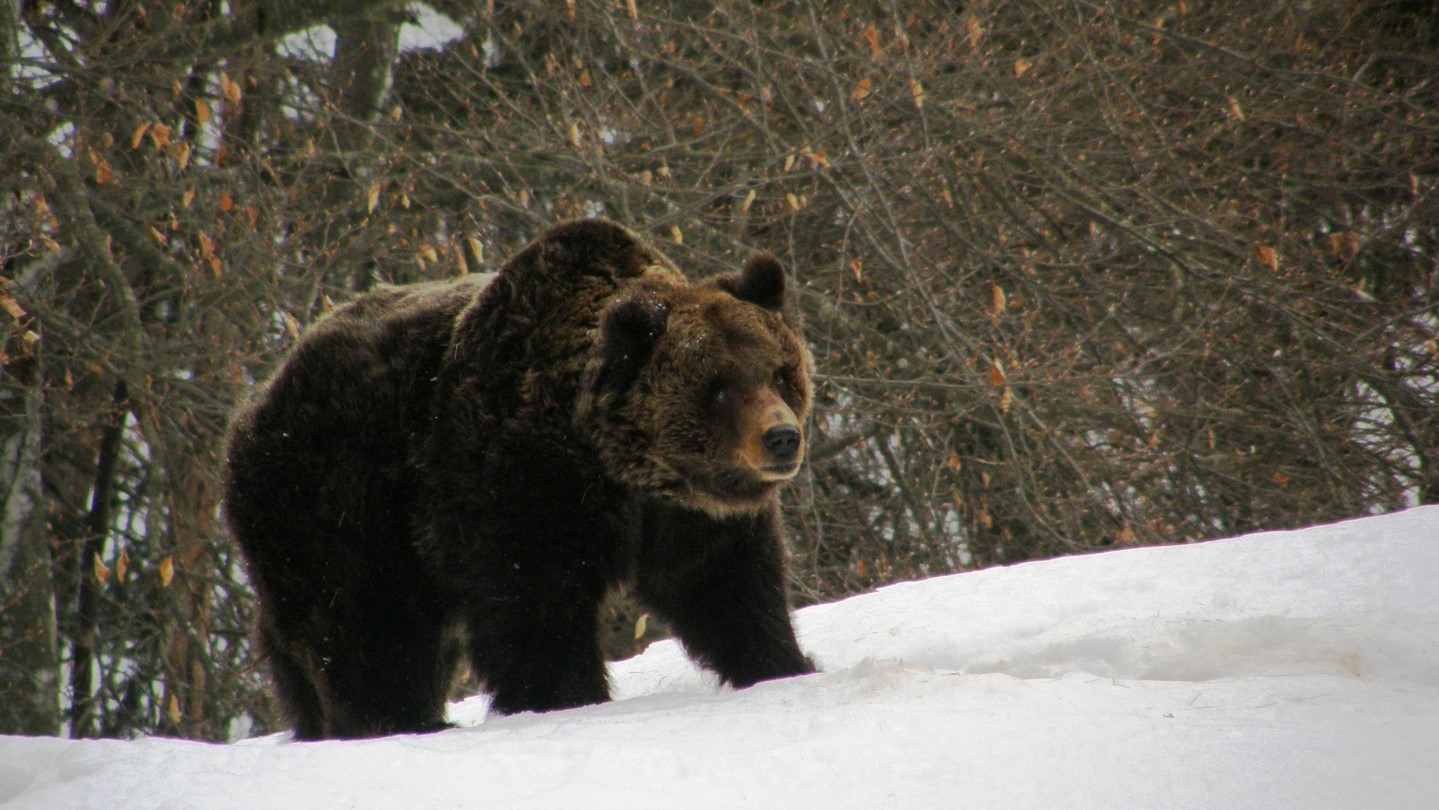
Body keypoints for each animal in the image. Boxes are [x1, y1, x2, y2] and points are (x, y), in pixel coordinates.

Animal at [223, 219, 816, 740]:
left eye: (780, 371)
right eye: (719, 387)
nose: (782, 437)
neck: (617, 463)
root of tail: (257, 400)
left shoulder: (688, 515)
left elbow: (729, 584)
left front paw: (780, 663)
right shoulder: (518, 483)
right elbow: (535, 610)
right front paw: (567, 697)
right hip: (335, 502)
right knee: (362, 620)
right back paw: (395, 720)